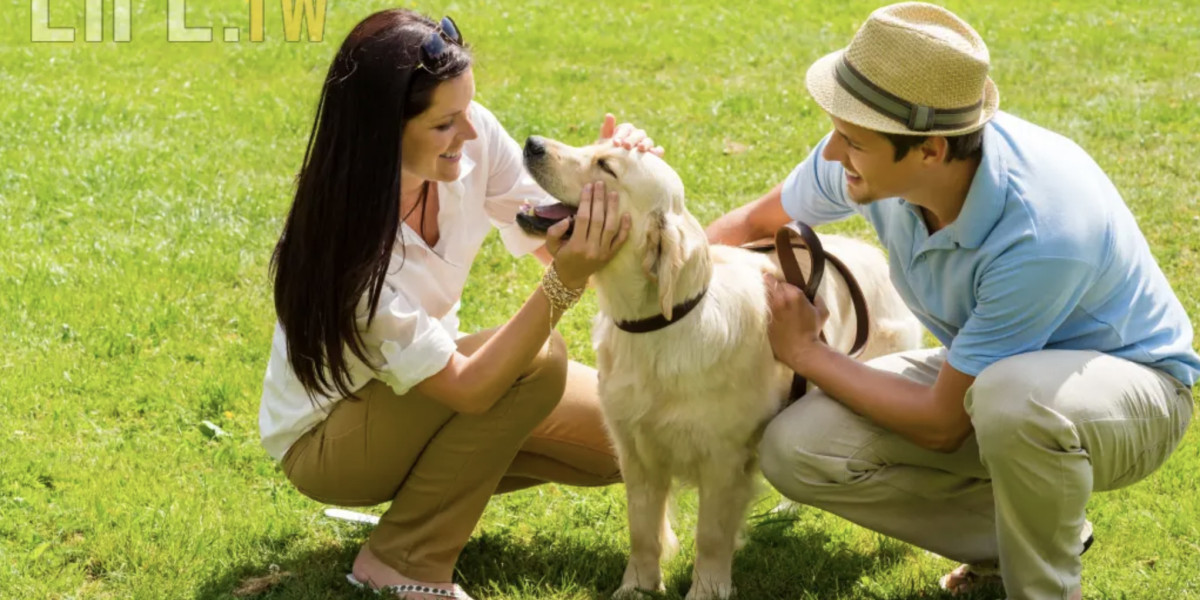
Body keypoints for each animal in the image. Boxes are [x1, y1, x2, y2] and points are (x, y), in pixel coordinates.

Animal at [516, 137, 916, 600]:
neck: (661, 325)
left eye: (606, 166)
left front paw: (707, 588)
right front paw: (637, 586)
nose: (532, 144)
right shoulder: (634, 450)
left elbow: (710, 534)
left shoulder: (724, 459)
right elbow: (642, 530)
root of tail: (869, 251)